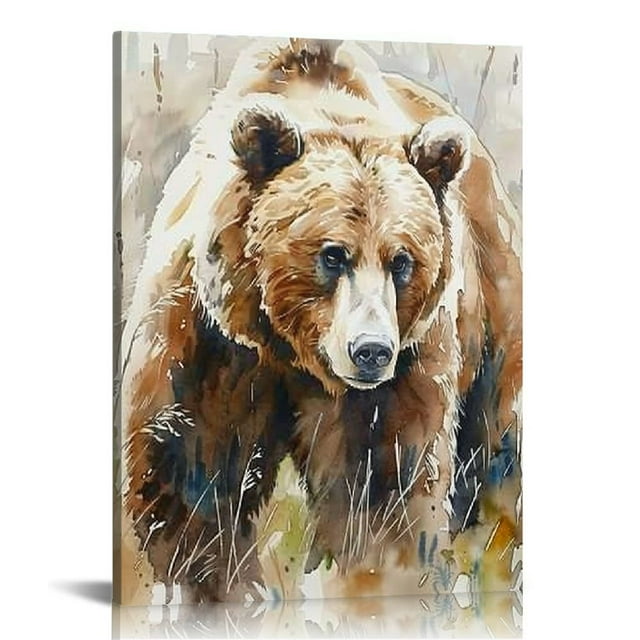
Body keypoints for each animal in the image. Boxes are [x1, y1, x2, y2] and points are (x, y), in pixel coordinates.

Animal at [117, 37, 522, 604]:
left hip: (494, 303)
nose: (371, 351)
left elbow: (378, 492)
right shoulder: (208, 338)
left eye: (401, 260)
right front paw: (214, 591)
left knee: (497, 449)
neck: (290, 346)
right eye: (333, 255)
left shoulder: (401, 372)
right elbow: (190, 479)